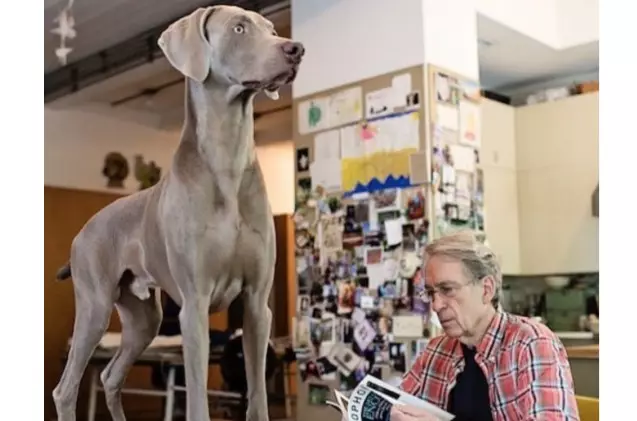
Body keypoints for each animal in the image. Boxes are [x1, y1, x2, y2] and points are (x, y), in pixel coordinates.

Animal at [52, 5, 306, 420]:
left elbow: (257, 397)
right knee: (66, 388)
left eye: (271, 28)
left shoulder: (256, 304)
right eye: (239, 28)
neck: (227, 160)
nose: (295, 48)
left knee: (109, 376)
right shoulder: (195, 305)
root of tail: (82, 231)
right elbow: (198, 399)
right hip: (95, 306)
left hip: (144, 319)